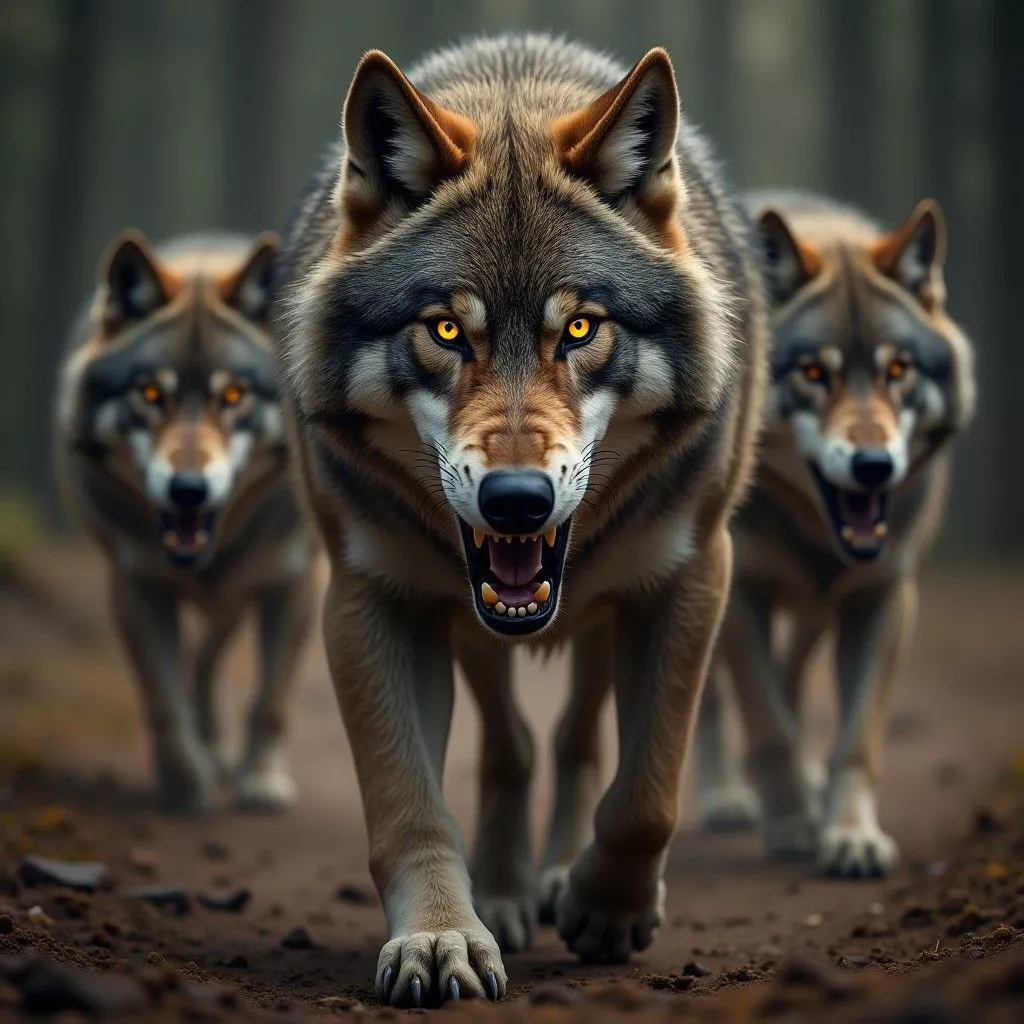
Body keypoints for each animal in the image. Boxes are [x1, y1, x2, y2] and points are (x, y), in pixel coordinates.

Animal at [55, 231, 316, 815]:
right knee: (201, 663)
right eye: (151, 394)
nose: (188, 490)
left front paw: (261, 780)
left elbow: (271, 697)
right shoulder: (135, 585)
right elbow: (163, 699)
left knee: (212, 655)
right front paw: (186, 783)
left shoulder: (294, 582)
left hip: (241, 593)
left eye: (234, 395)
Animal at [272, 34, 768, 1004]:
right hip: (468, 631)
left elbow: (648, 793)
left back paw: (556, 878)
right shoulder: (370, 597)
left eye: (579, 328)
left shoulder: (692, 575)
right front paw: (440, 936)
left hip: (606, 616)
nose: (515, 500)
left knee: (575, 738)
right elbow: (409, 806)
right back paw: (504, 894)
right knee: (515, 745)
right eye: (445, 331)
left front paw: (605, 907)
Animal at [693, 192, 976, 876]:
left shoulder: (884, 598)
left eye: (897, 369)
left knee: (794, 675)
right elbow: (767, 724)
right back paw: (728, 796)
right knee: (713, 698)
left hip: (817, 613)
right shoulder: (742, 595)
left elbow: (856, 739)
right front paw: (792, 824)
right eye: (814, 373)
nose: (874, 466)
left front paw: (849, 836)